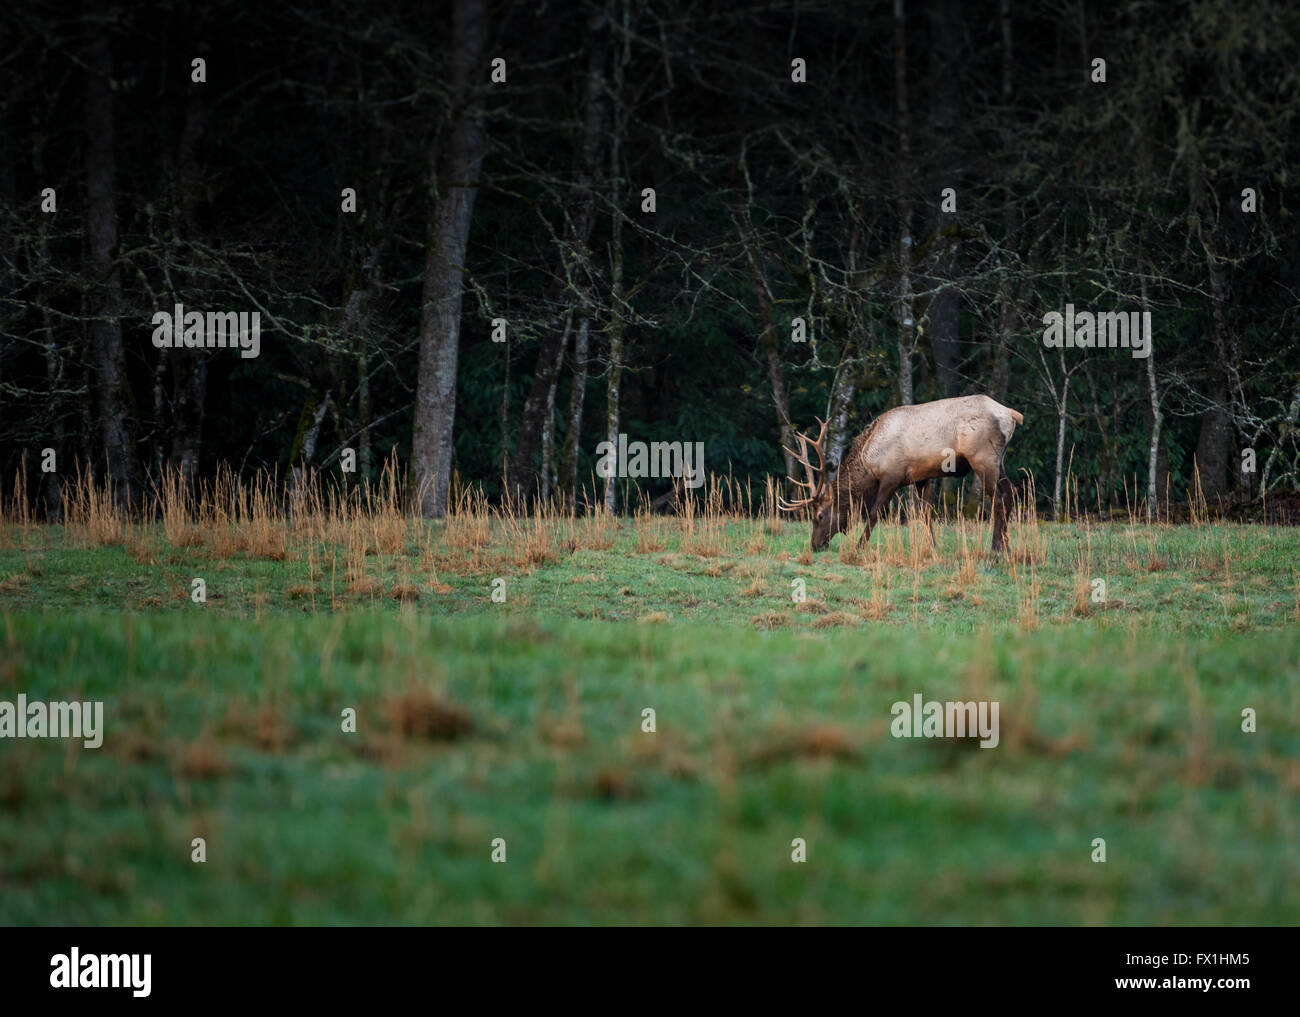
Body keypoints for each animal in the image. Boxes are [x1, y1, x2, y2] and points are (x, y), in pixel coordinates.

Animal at [778, 395, 1024, 553]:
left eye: (819, 516)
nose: (814, 545)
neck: (870, 462)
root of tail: (1012, 415)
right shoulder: (922, 477)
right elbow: (925, 513)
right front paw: (933, 547)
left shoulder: (892, 475)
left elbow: (875, 513)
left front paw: (859, 546)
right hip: (998, 461)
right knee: (1011, 492)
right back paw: (1007, 547)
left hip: (983, 458)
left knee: (999, 497)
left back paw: (995, 549)